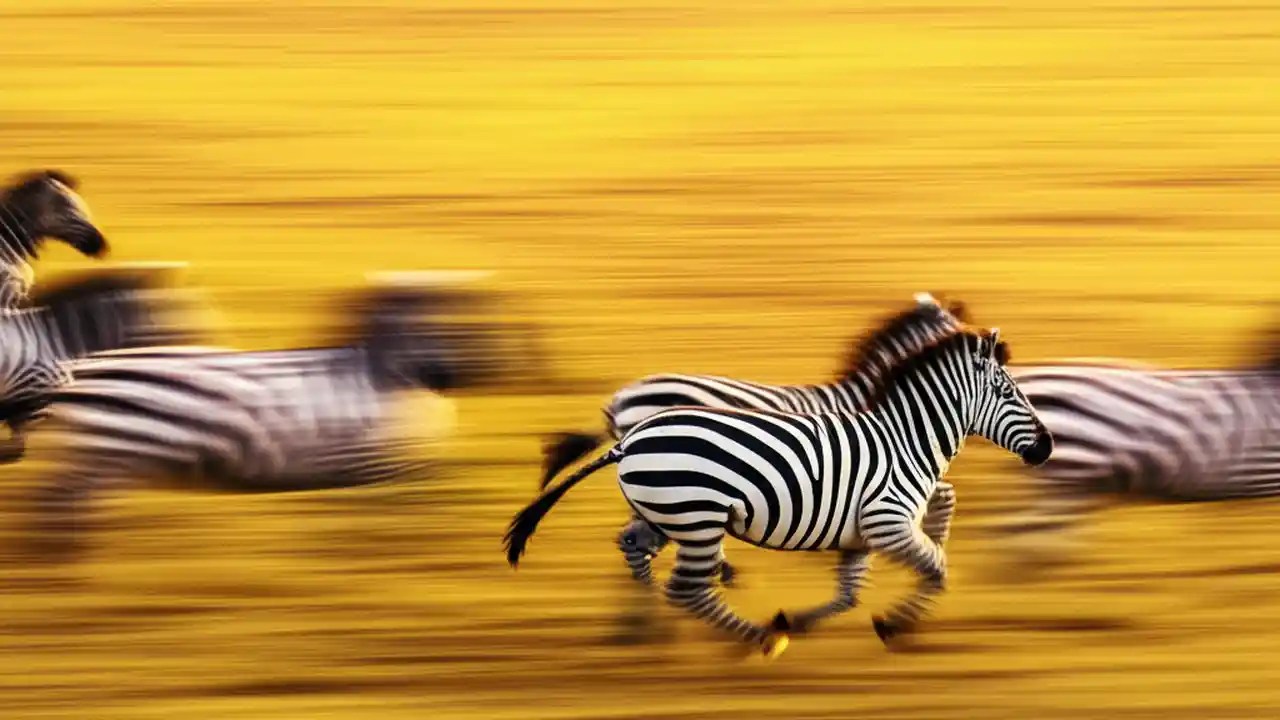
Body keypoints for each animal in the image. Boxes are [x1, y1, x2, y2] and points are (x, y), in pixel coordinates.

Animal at [21, 281, 457, 553]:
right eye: (433, 329)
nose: (447, 380)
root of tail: (79, 369)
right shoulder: (372, 466)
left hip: (102, 455)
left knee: (56, 498)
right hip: (112, 451)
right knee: (61, 501)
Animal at [506, 327, 1053, 656]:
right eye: (1009, 392)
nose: (1047, 446)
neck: (904, 440)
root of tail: (630, 437)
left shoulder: (862, 534)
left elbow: (849, 594)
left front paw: (800, 619)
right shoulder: (888, 523)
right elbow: (936, 569)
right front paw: (895, 625)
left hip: (665, 514)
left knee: (635, 552)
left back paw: (652, 627)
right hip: (698, 519)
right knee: (687, 587)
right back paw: (756, 639)